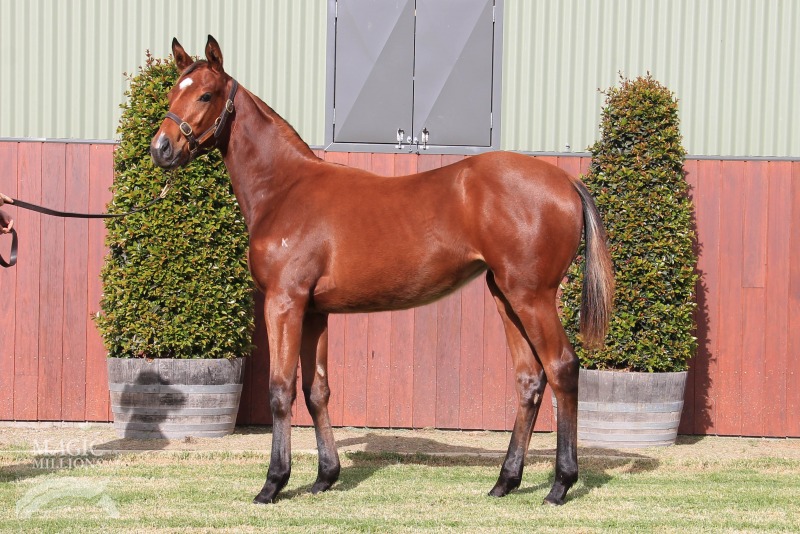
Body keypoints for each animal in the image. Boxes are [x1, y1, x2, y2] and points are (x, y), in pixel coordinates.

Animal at [151, 35, 614, 506]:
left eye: (206, 95)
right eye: (171, 92)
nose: (161, 149)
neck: (285, 190)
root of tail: (565, 181)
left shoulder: (284, 303)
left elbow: (280, 390)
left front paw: (273, 483)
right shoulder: (314, 311)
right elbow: (316, 391)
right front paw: (325, 476)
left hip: (531, 296)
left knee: (561, 368)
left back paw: (560, 484)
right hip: (506, 296)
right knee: (530, 380)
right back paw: (505, 481)